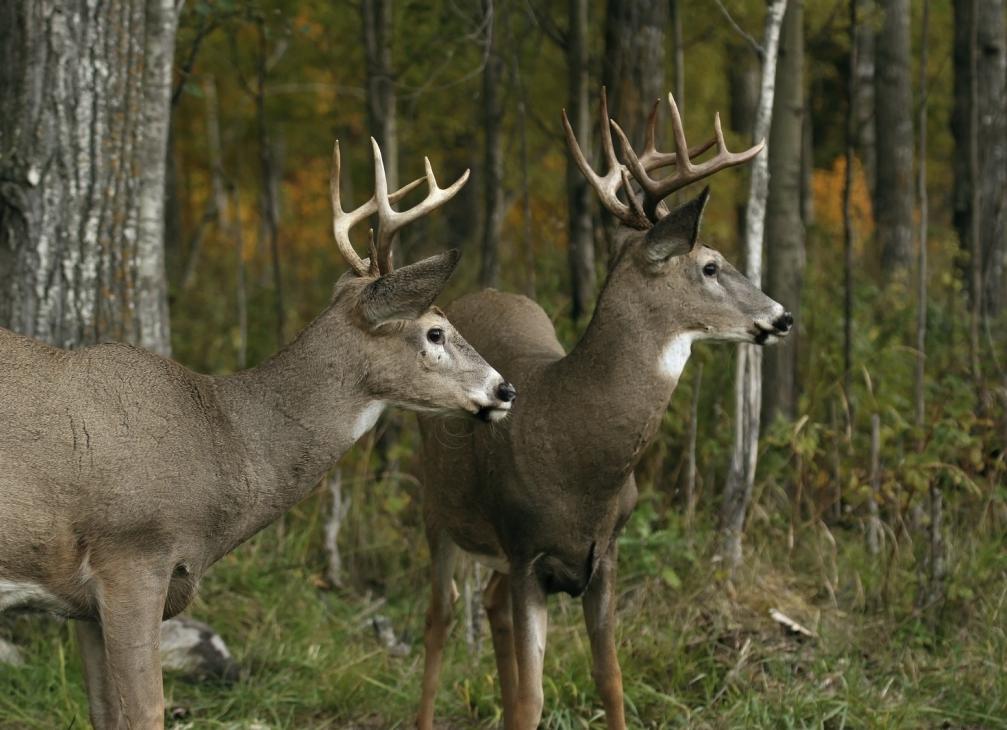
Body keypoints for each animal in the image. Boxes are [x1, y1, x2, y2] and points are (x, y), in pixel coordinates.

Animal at [0, 138, 516, 730]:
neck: (222, 440)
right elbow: (147, 710)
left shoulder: (82, 606)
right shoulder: (131, 554)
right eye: (435, 331)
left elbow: (104, 711)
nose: (505, 390)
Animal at [414, 90, 793, 730]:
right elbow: (531, 701)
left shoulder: (605, 554)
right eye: (710, 265)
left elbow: (610, 678)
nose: (783, 315)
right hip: (439, 511)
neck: (578, 451)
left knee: (485, 605)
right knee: (440, 615)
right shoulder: (525, 549)